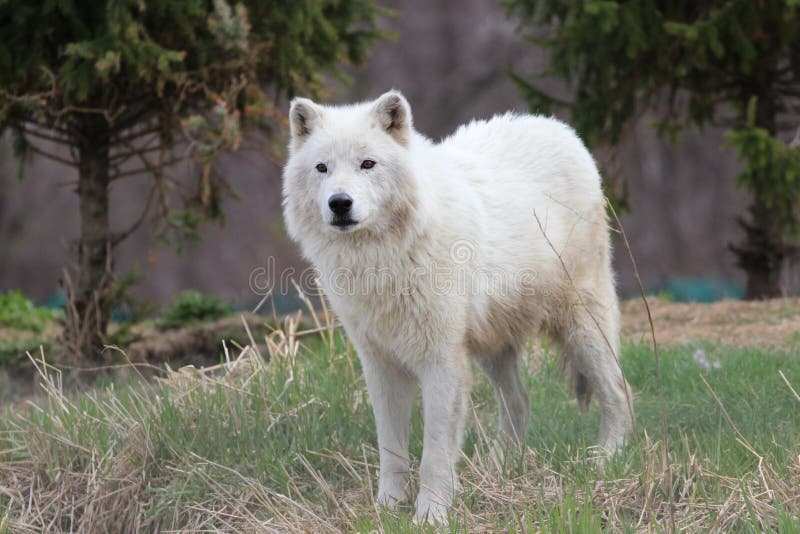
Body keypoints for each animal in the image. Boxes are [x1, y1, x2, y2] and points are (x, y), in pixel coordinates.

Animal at [282, 90, 633, 523]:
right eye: (322, 168)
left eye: (367, 164)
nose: (339, 203)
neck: (384, 261)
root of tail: (559, 128)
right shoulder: (380, 365)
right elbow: (391, 450)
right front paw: (387, 510)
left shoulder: (441, 362)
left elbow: (434, 453)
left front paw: (430, 515)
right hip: (492, 348)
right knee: (520, 402)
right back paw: (499, 468)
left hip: (582, 326)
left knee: (618, 392)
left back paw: (605, 461)